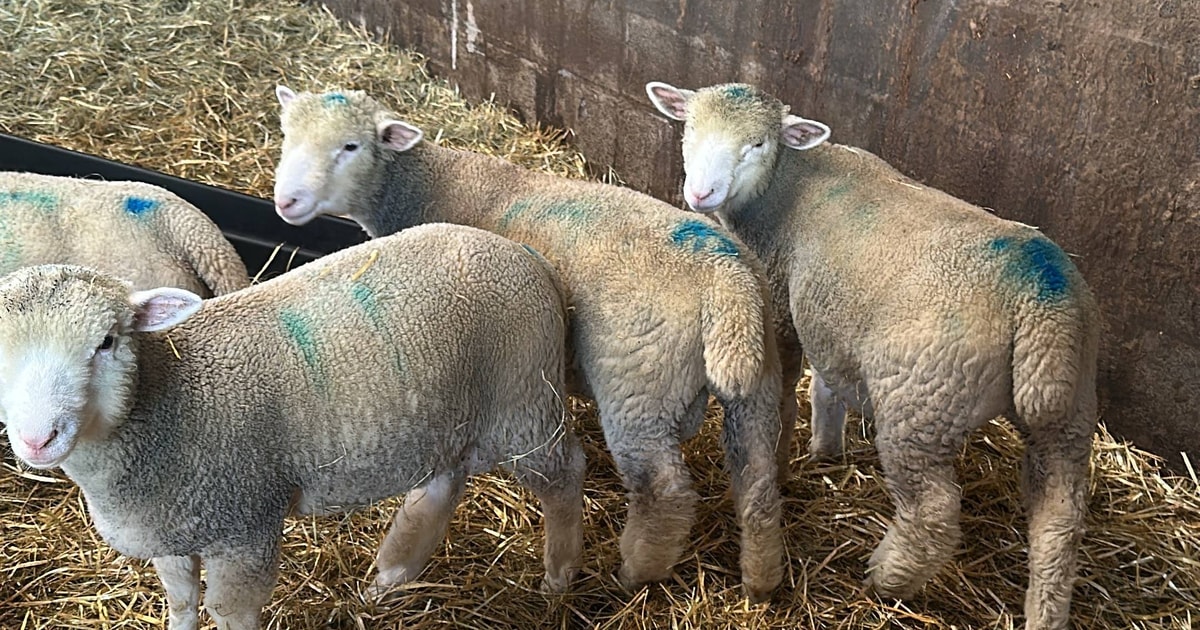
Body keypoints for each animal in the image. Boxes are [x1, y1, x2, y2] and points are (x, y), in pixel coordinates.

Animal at [0, 223, 585, 630]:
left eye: (107, 342)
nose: (37, 439)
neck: (169, 401)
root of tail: (527, 255)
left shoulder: (244, 530)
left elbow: (229, 612)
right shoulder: (170, 532)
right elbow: (183, 604)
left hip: (524, 403)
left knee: (565, 473)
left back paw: (559, 576)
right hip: (450, 419)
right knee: (443, 487)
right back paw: (390, 577)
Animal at [271, 86, 785, 601]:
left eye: (350, 146)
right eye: (287, 134)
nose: (286, 201)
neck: (429, 185)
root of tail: (727, 276)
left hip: (638, 386)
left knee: (663, 492)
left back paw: (633, 574)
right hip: (757, 377)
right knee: (759, 483)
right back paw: (760, 583)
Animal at [645, 81, 1100, 630]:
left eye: (757, 144)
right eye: (689, 128)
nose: (699, 194)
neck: (786, 181)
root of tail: (1039, 294)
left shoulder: (781, 306)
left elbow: (785, 395)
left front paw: (782, 464)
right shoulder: (833, 321)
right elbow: (827, 384)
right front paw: (826, 448)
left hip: (922, 402)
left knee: (932, 515)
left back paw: (885, 578)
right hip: (1069, 407)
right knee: (1060, 520)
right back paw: (1045, 611)